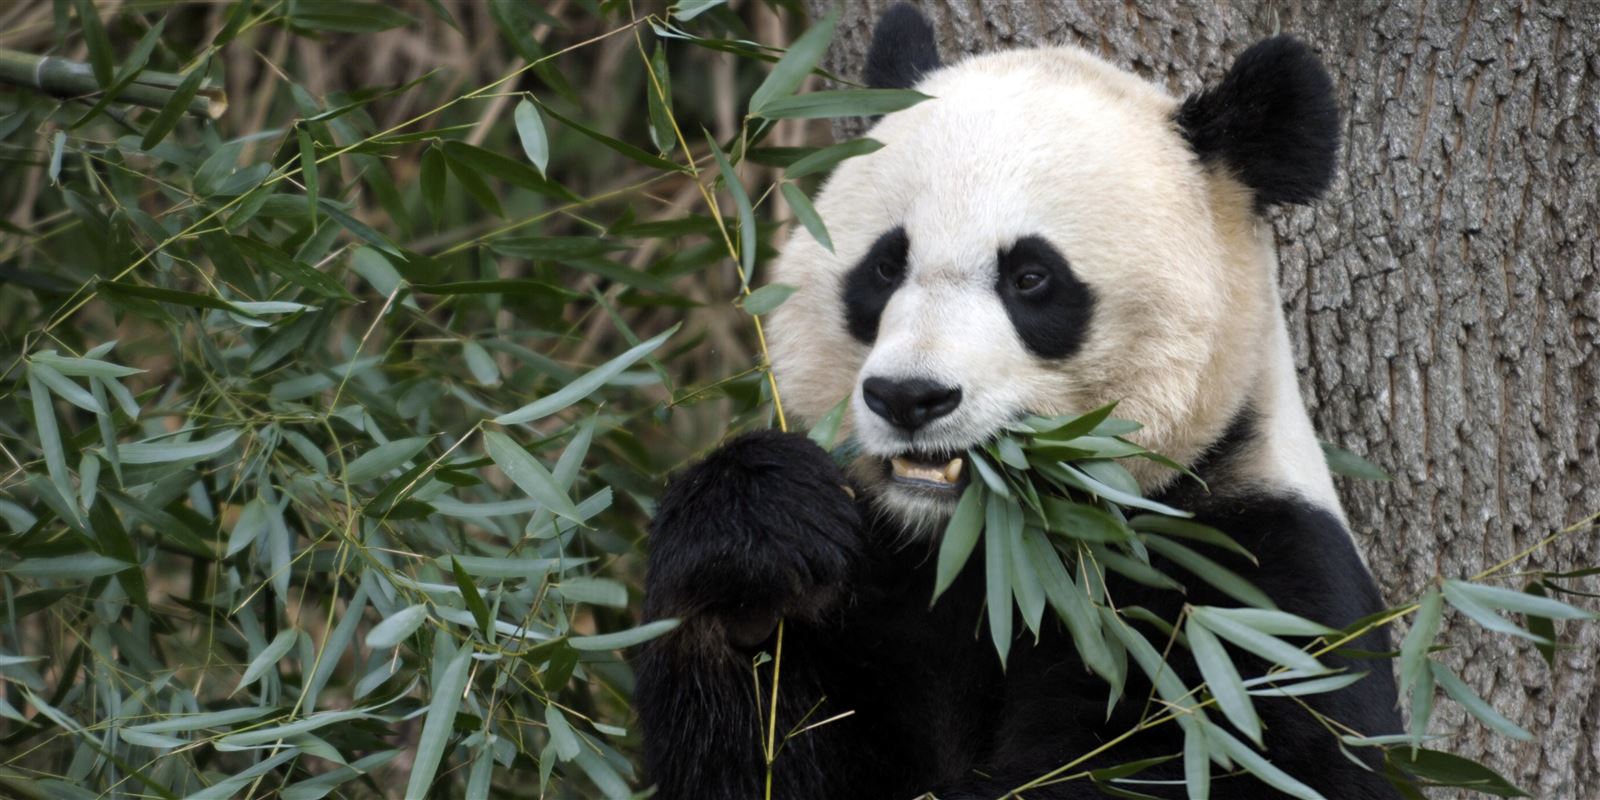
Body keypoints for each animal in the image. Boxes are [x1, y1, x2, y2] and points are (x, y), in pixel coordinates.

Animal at [635, 4, 1402, 799]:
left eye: (1031, 277)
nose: (908, 397)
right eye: (885, 266)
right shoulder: (878, 581)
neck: (987, 551)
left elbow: (1245, 755)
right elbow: (758, 745)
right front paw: (758, 547)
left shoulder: (1247, 590)